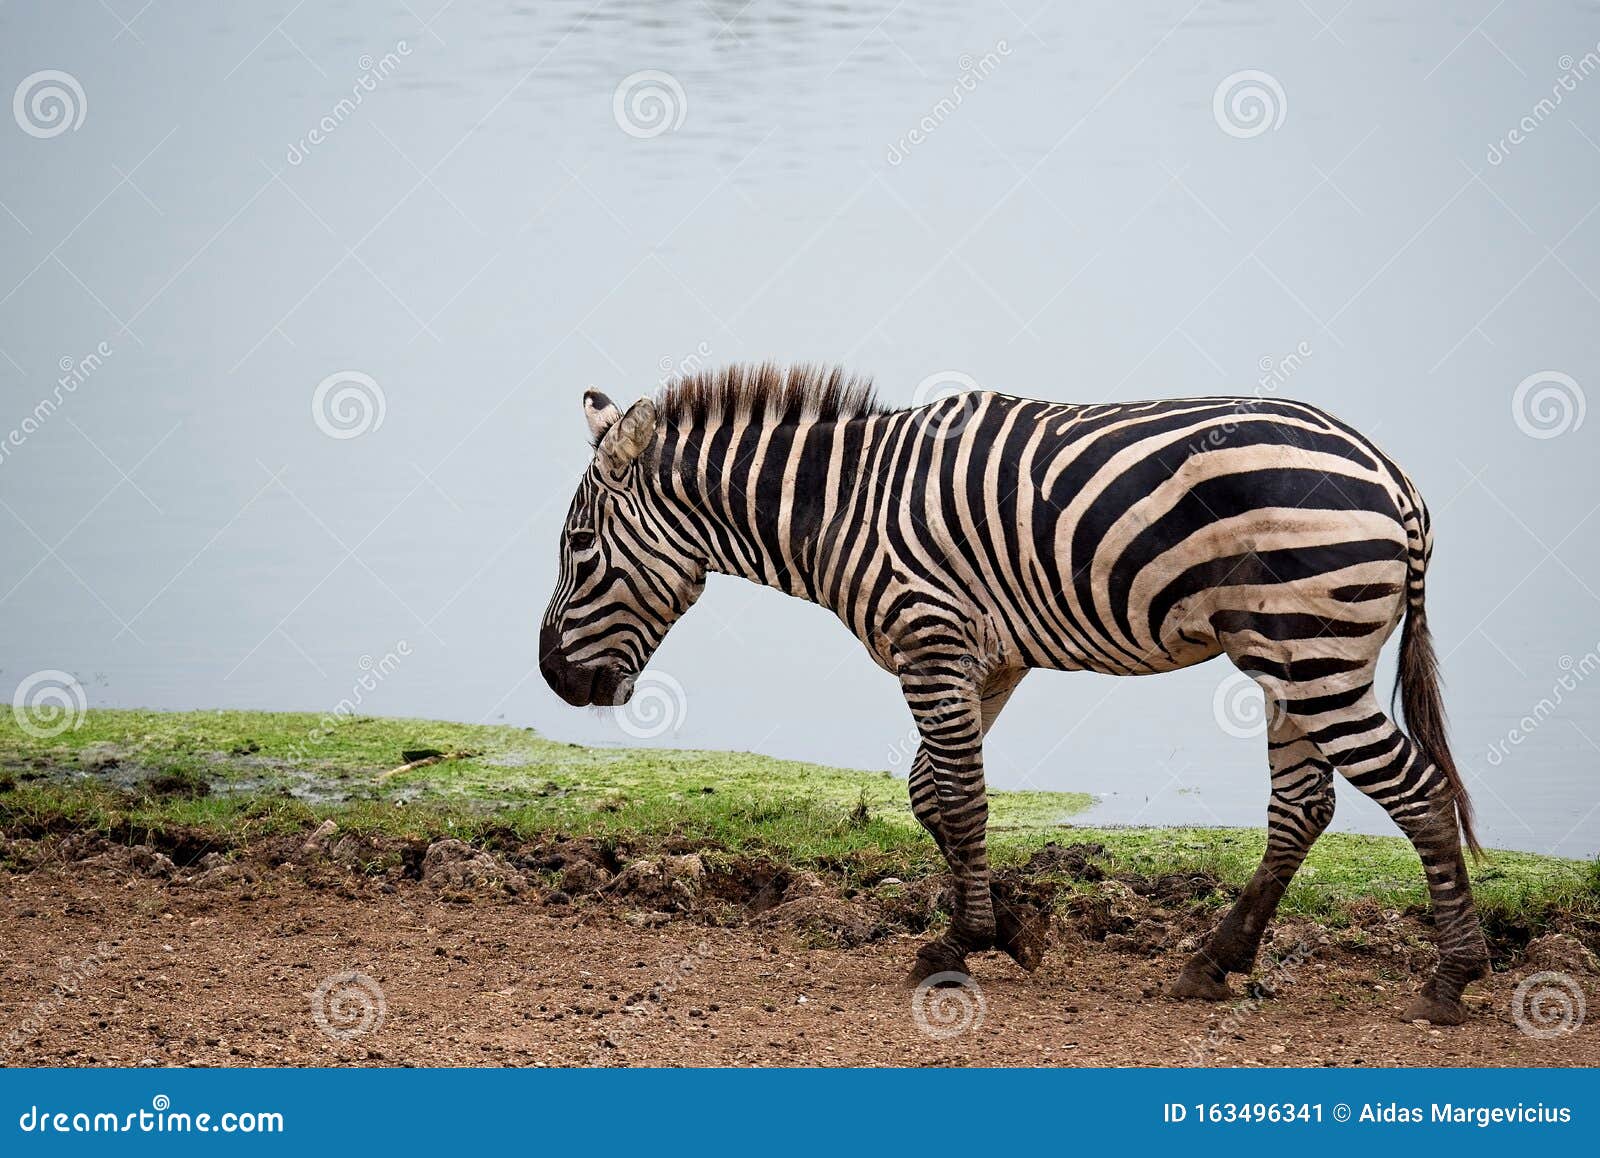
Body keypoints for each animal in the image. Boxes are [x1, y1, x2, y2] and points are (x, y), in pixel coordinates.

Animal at [538, 362, 1489, 1026]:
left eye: (577, 547)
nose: (552, 677)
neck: (842, 507)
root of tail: (1397, 482)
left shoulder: (931, 640)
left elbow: (959, 800)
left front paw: (963, 943)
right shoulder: (983, 660)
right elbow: (933, 794)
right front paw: (1009, 927)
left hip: (1310, 652)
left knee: (1418, 790)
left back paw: (1452, 978)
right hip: (1286, 656)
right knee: (1302, 805)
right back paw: (1215, 961)